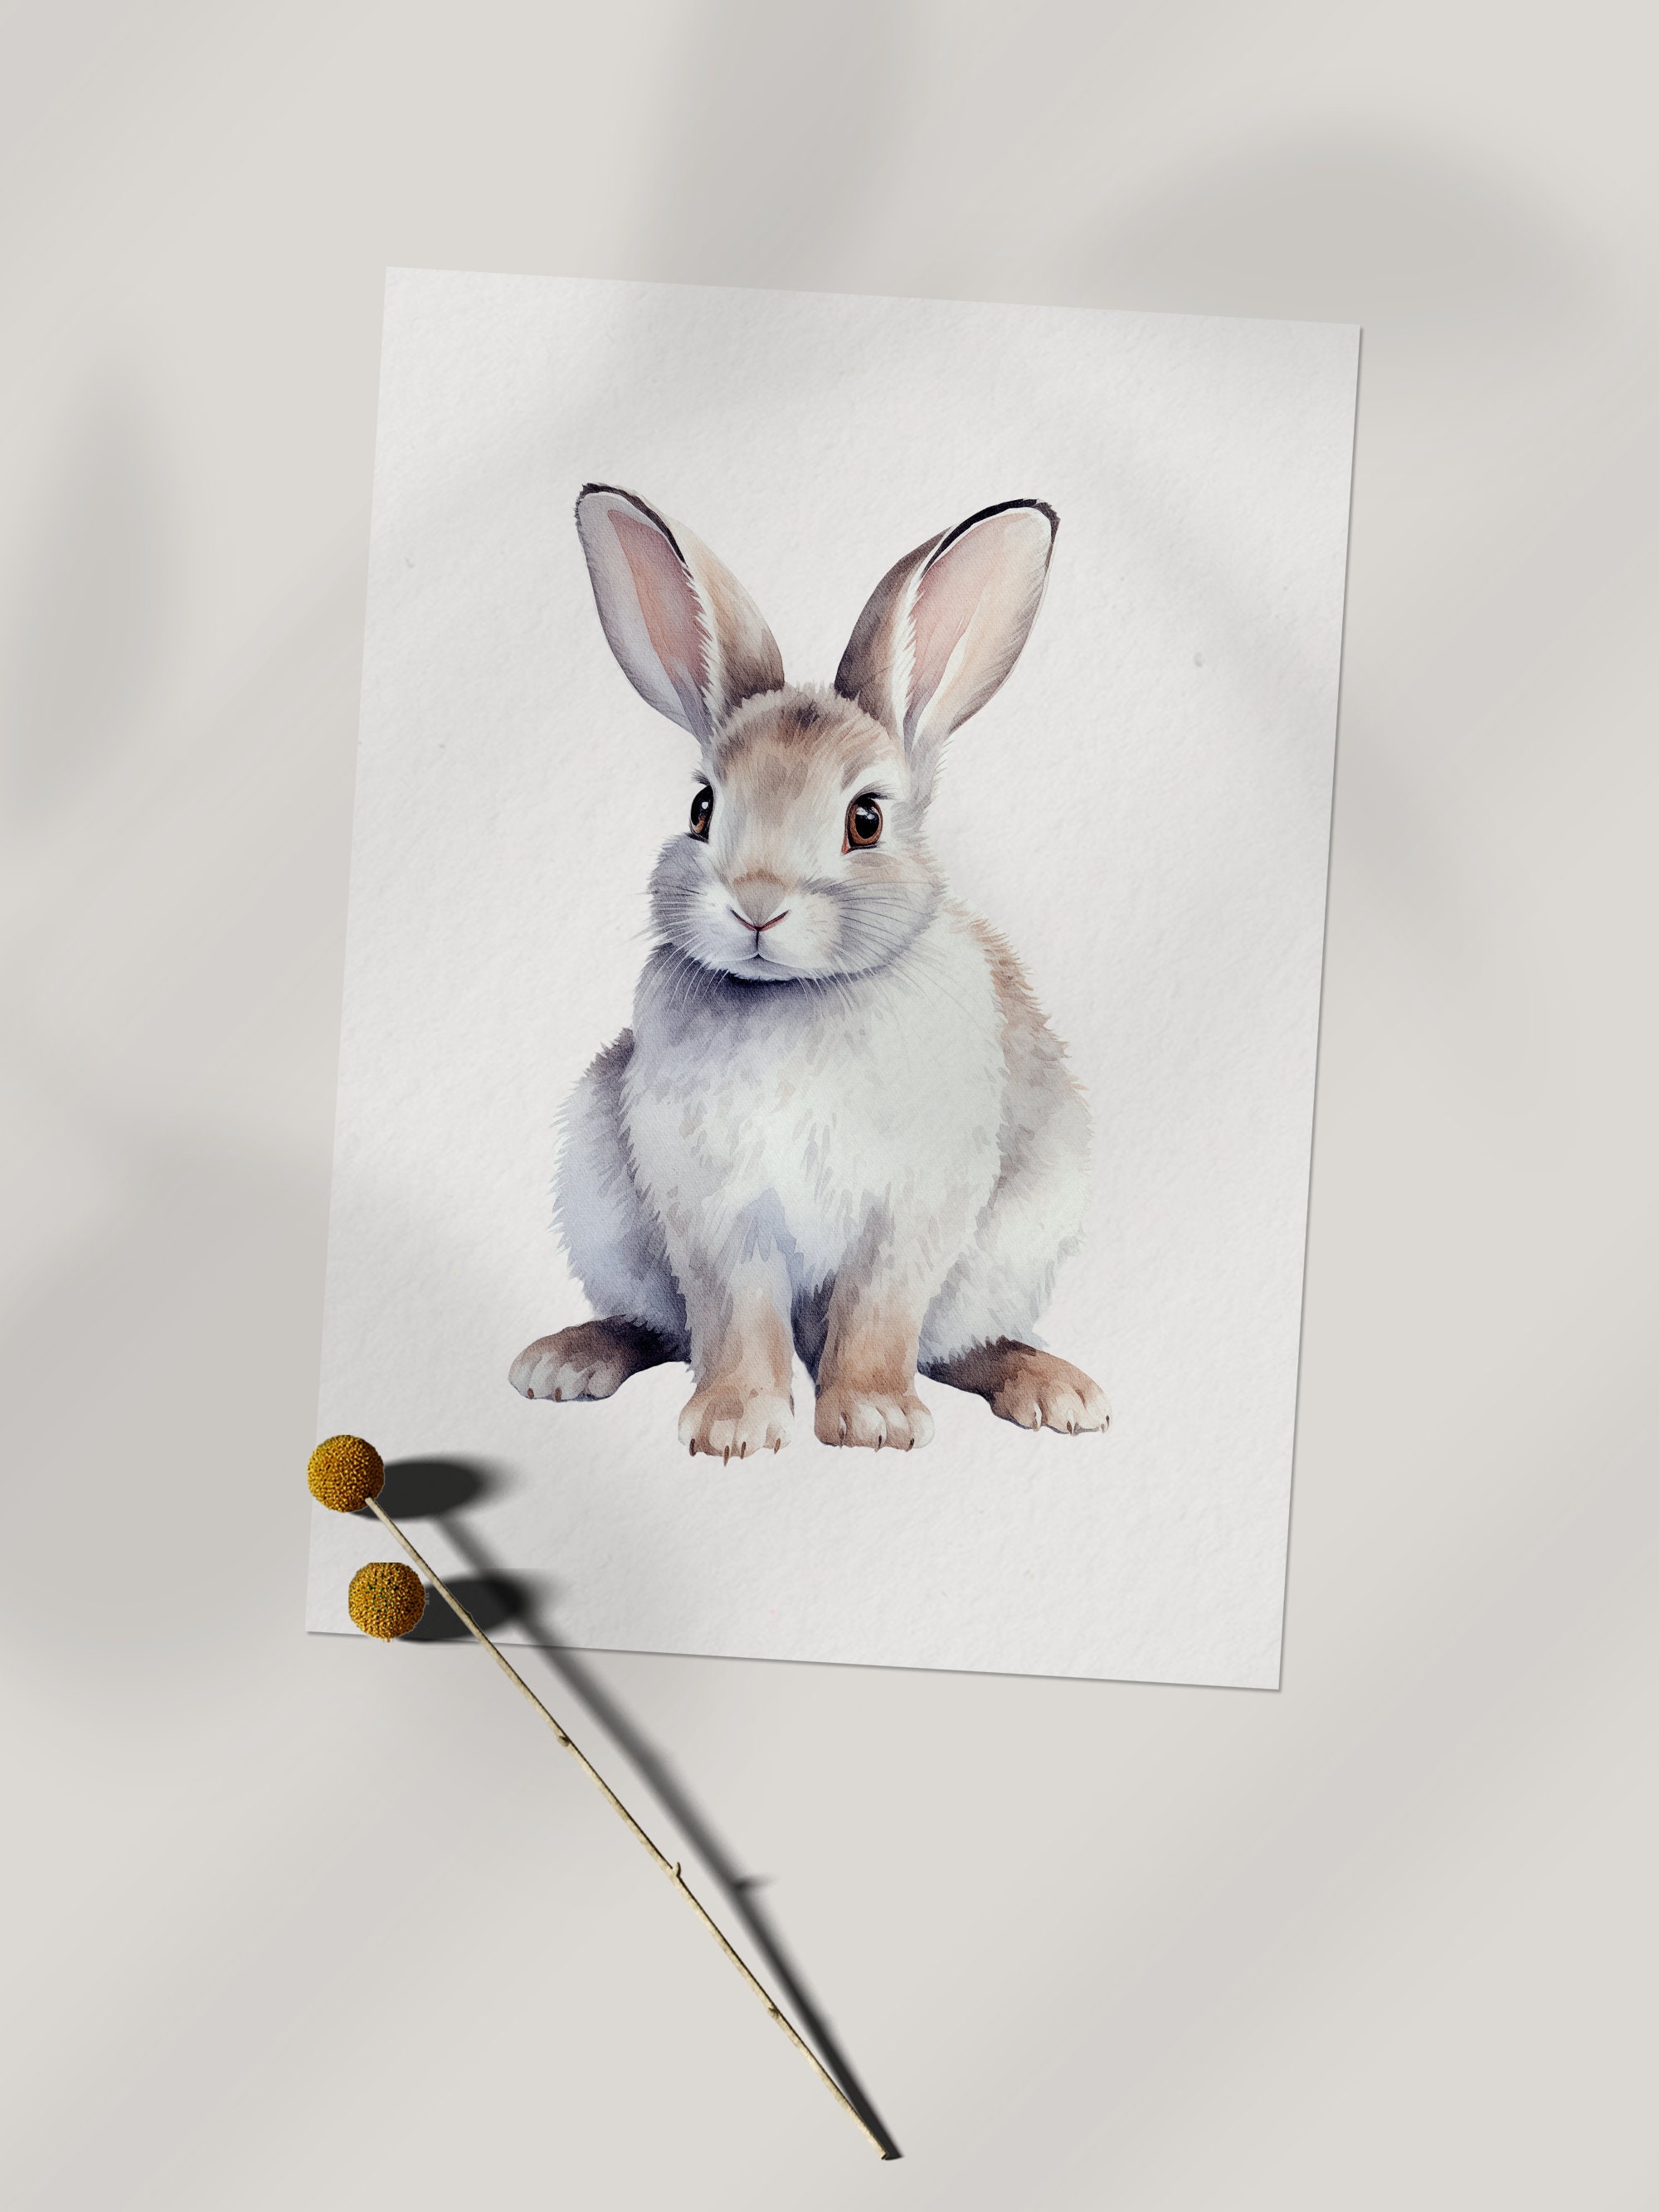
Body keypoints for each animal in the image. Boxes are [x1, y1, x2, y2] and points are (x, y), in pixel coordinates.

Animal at [509, 485, 1109, 1456]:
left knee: (955, 1345)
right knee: (660, 1325)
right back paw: (567, 1361)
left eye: (866, 819)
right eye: (701, 808)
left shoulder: (913, 1207)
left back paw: (1054, 1391)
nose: (757, 904)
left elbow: (879, 1311)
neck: (792, 997)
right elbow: (735, 1316)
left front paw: (872, 1420)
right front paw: (735, 1425)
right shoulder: (715, 1207)